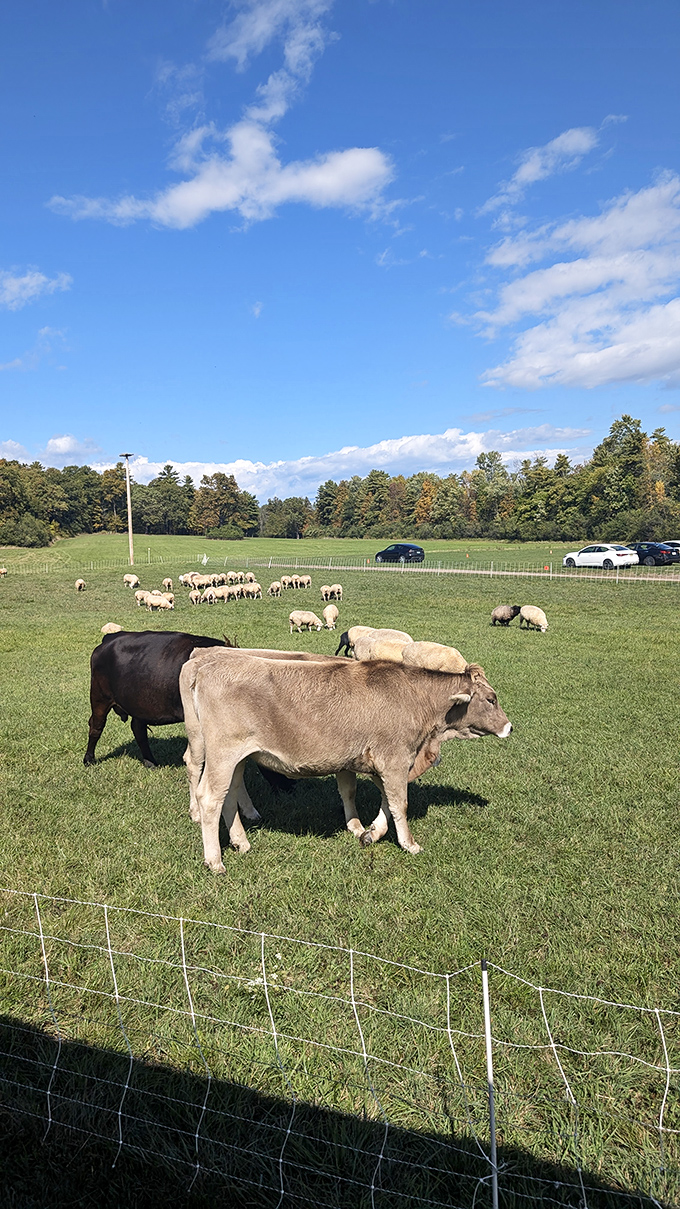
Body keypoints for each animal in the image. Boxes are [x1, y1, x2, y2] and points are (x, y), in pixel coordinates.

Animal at [180, 651, 511, 870]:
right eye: (491, 699)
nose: (509, 726)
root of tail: (207, 662)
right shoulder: (395, 759)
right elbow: (400, 804)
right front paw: (409, 844)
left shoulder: (375, 762)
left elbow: (380, 802)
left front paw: (369, 832)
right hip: (222, 752)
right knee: (209, 797)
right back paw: (214, 860)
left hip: (237, 758)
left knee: (230, 795)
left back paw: (241, 841)